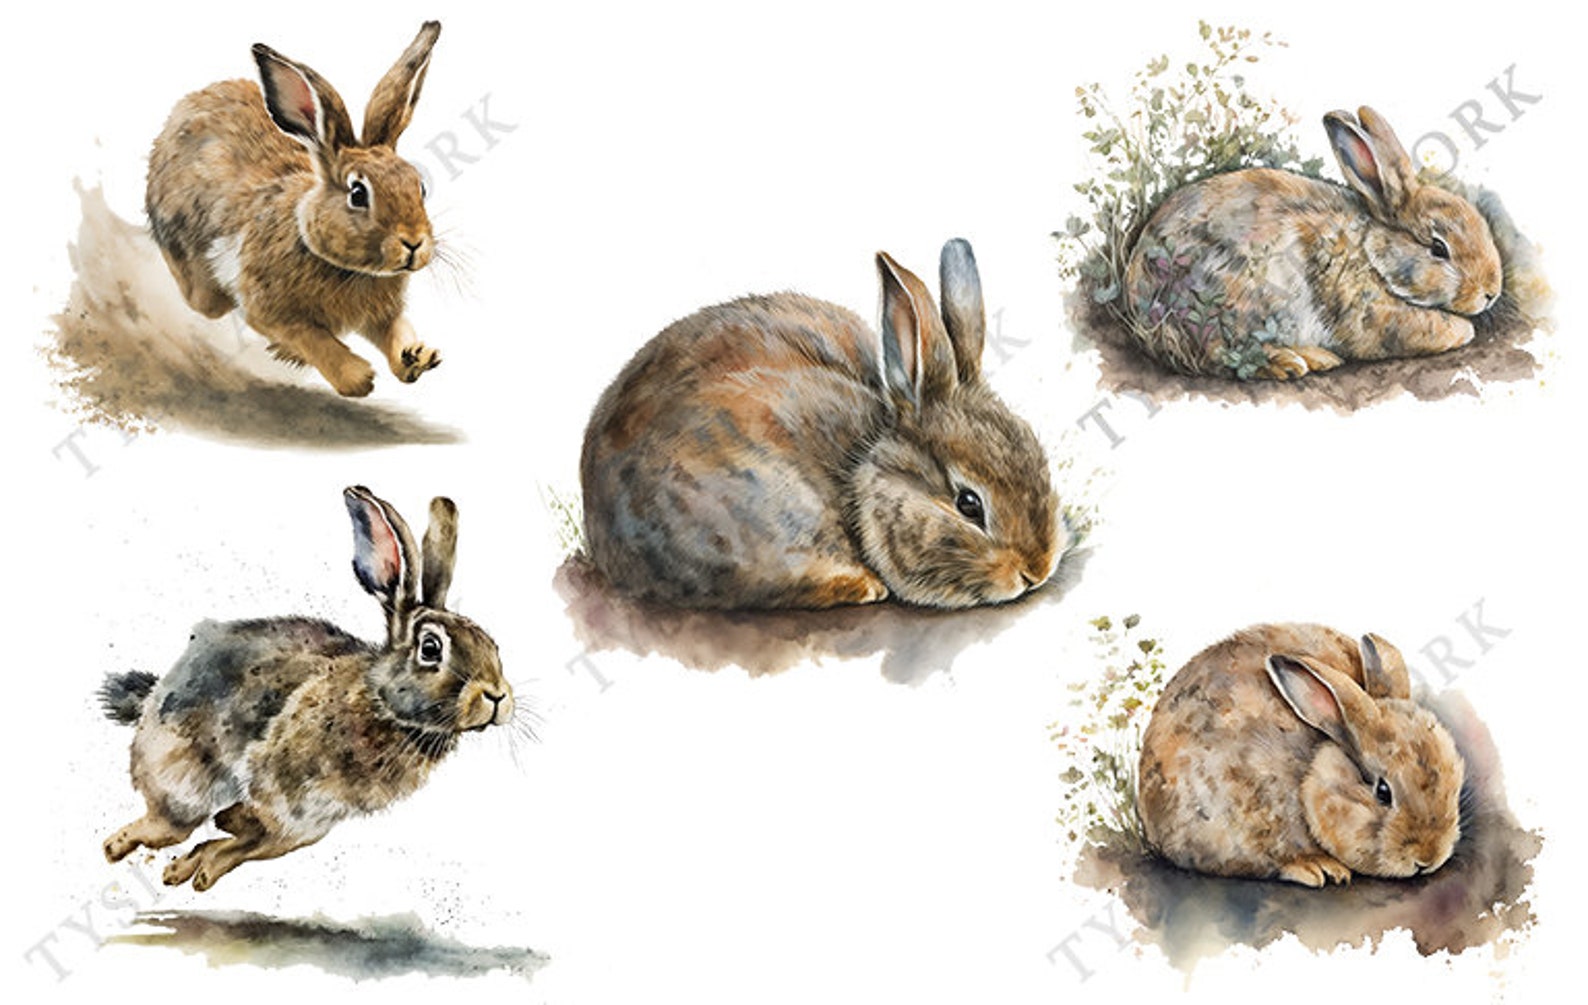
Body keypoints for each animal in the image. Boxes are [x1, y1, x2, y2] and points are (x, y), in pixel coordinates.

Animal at [99, 486, 513, 891]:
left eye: (492, 645)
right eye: (430, 648)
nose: (496, 695)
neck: (380, 702)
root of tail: (154, 696)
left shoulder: (308, 821)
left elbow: (256, 842)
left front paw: (206, 861)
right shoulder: (280, 792)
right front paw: (200, 858)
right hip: (183, 773)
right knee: (168, 824)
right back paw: (118, 845)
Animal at [146, 23, 444, 397]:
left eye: (420, 187)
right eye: (358, 193)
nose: (414, 242)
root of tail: (189, 103)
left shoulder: (383, 314)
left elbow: (396, 329)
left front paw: (416, 357)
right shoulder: (269, 309)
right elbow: (311, 337)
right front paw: (357, 376)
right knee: (201, 296)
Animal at [1122, 106, 1504, 379]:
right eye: (1439, 248)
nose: (1491, 292)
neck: (1372, 253)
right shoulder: (1365, 313)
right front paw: (1463, 331)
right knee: (1224, 355)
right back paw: (1297, 361)